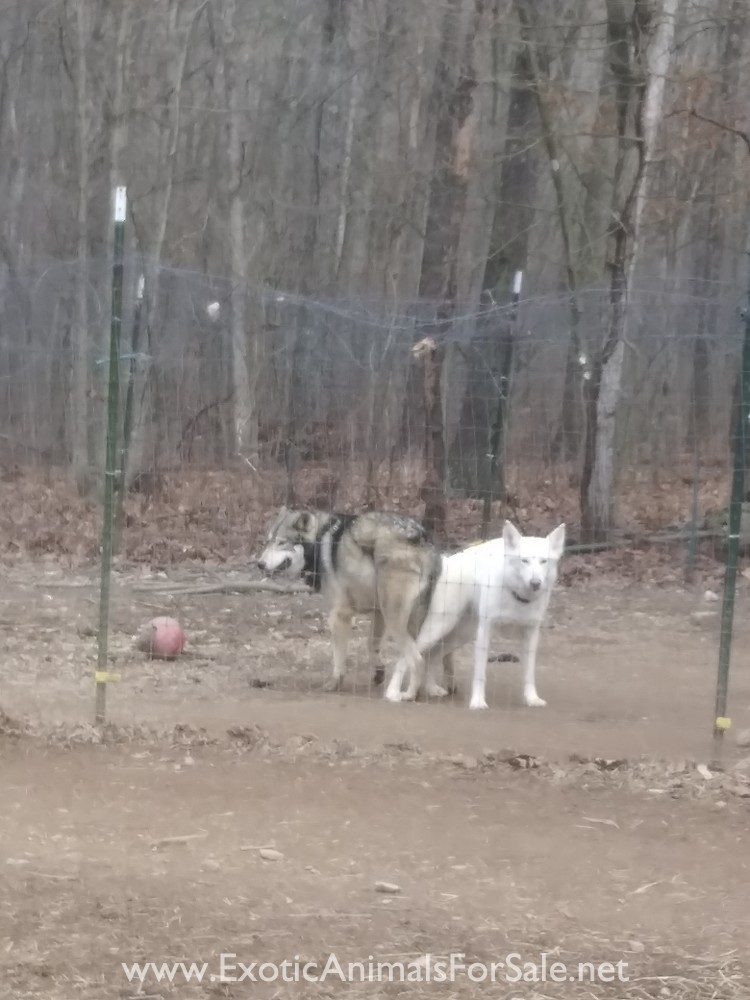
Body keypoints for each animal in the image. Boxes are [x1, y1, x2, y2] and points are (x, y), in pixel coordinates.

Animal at [257, 506, 447, 693]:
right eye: (268, 542)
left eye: (281, 543)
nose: (259, 564)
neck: (318, 542)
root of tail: (418, 536)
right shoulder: (378, 612)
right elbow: (371, 645)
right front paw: (379, 672)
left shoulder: (339, 615)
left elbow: (339, 658)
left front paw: (334, 683)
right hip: (412, 619)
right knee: (427, 655)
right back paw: (432, 689)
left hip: (395, 619)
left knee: (418, 659)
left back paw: (408, 695)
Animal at [383, 520, 566, 709]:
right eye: (525, 561)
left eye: (544, 561)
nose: (536, 583)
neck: (517, 596)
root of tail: (447, 560)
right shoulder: (485, 633)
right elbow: (480, 674)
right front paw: (478, 702)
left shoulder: (531, 635)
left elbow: (529, 675)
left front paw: (532, 699)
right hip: (438, 628)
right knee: (406, 657)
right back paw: (393, 692)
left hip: (460, 636)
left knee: (430, 657)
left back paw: (432, 688)